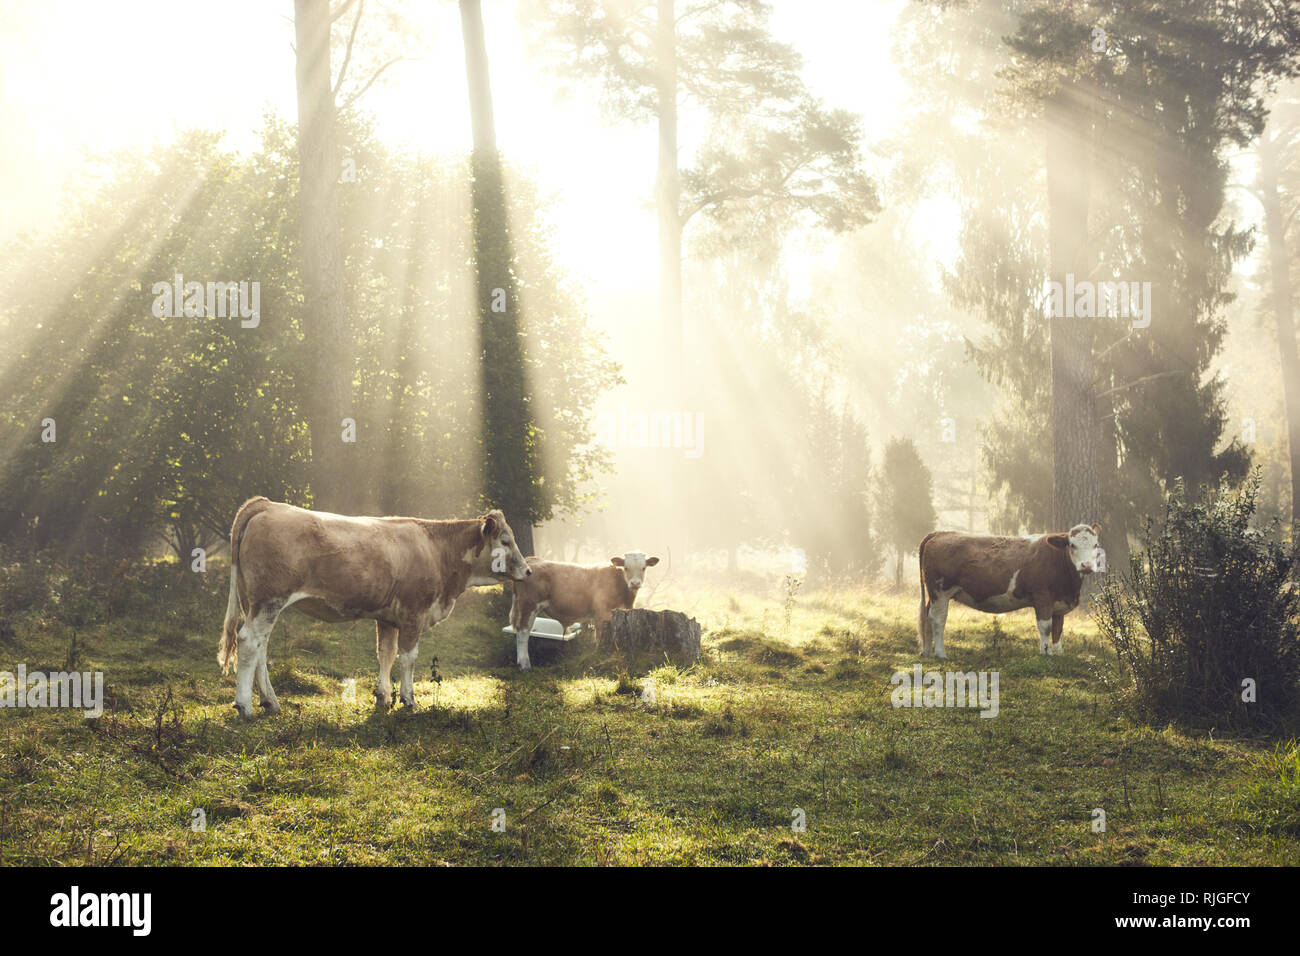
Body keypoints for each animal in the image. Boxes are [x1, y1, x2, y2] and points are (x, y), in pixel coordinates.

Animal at [218, 496, 530, 715]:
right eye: (505, 541)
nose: (528, 571)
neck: (437, 551)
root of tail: (266, 505)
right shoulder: (414, 612)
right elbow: (408, 657)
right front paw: (408, 699)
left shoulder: (389, 617)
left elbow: (386, 654)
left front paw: (383, 696)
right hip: (269, 600)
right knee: (248, 642)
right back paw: (244, 705)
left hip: (256, 603)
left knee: (261, 647)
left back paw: (270, 702)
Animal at [508, 551, 660, 671]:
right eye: (626, 568)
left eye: (644, 567)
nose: (635, 583)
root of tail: (531, 560)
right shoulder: (601, 612)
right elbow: (600, 635)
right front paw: (599, 654)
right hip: (529, 605)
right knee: (523, 631)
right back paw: (524, 665)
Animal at [917, 524, 1102, 658]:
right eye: (1072, 545)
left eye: (1096, 545)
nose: (1086, 565)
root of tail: (940, 533)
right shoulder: (1043, 598)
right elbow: (1045, 627)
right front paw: (1045, 653)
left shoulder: (1059, 603)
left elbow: (1058, 629)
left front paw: (1058, 654)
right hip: (940, 592)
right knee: (937, 619)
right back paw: (940, 654)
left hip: (934, 594)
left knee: (927, 617)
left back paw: (926, 652)